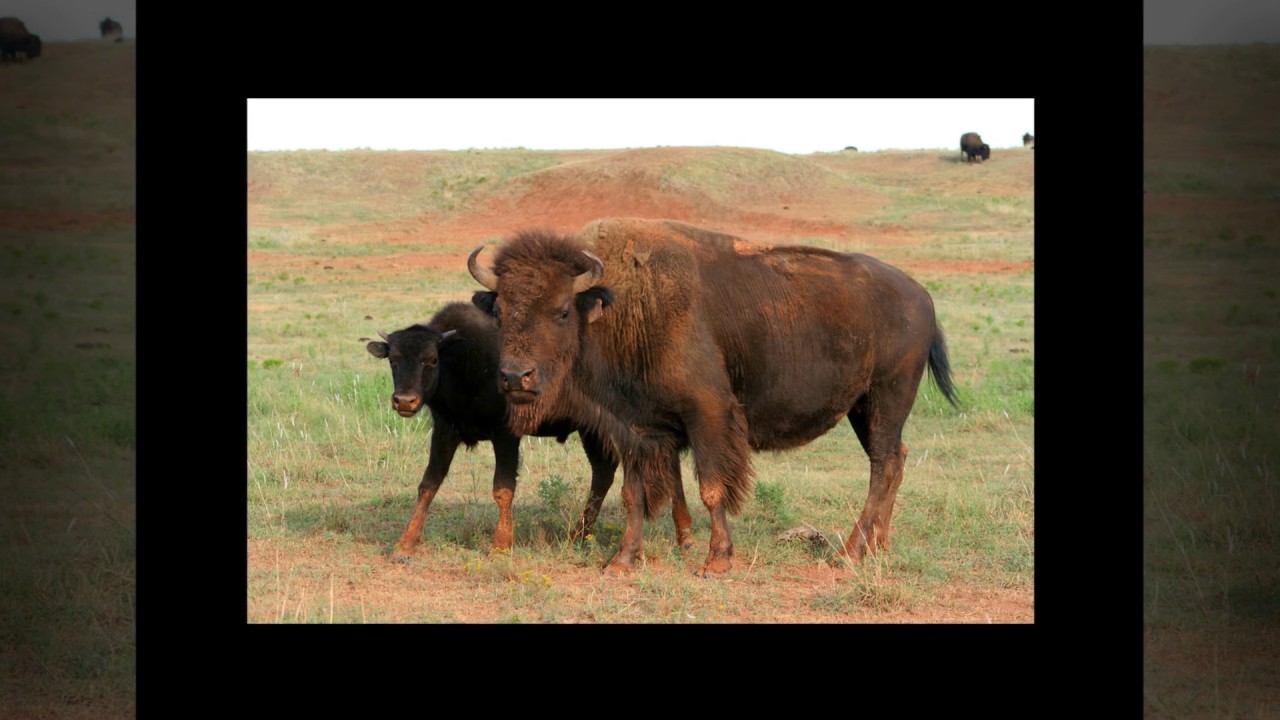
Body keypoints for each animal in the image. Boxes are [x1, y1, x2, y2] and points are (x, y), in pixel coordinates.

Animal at [366, 301, 693, 559]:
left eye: (432, 359)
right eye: (393, 360)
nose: (405, 401)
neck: (463, 358)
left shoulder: (505, 436)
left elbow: (502, 488)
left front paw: (500, 546)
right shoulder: (445, 432)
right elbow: (428, 484)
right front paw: (404, 545)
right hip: (593, 432)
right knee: (606, 473)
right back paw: (580, 536)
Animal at [469, 218, 958, 576]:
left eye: (562, 311)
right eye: (501, 310)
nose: (515, 377)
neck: (619, 306)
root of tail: (922, 296)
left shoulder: (707, 415)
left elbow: (711, 487)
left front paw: (716, 560)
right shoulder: (633, 428)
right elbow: (632, 493)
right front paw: (622, 562)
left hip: (885, 400)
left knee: (883, 465)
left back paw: (850, 553)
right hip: (865, 409)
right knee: (895, 460)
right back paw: (879, 546)